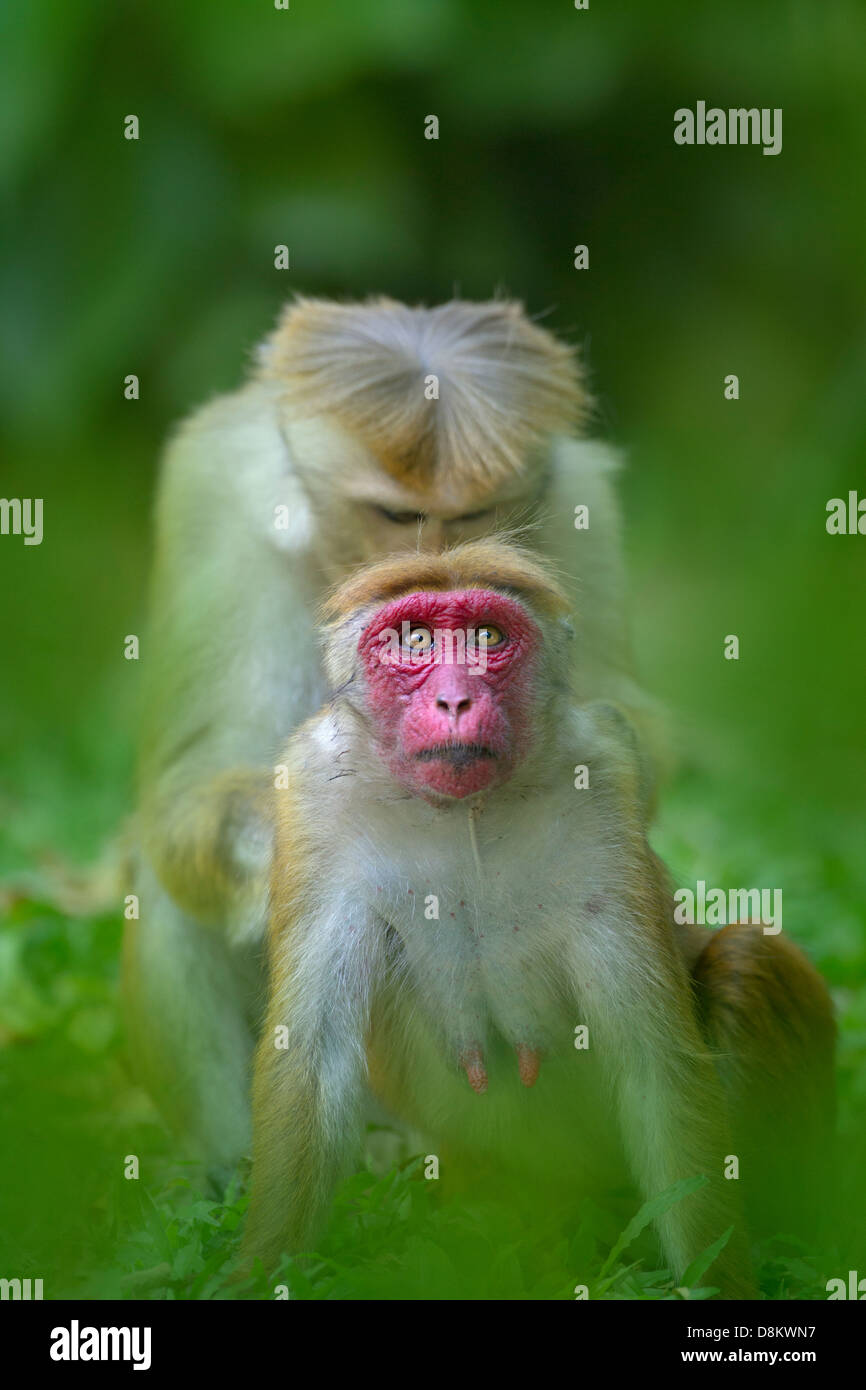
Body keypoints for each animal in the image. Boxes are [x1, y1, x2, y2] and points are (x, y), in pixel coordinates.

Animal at [123, 296, 657, 1174]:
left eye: (472, 516)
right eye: (398, 516)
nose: (439, 580)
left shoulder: (583, 500)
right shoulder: (219, 502)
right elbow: (193, 788)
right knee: (173, 888)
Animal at [241, 539, 835, 1298]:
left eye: (490, 637)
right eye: (415, 639)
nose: (455, 698)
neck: (467, 810)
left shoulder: (605, 773)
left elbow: (657, 1068)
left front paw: (716, 1284)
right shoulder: (312, 790)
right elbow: (312, 1063)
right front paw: (255, 1274)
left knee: (745, 959)